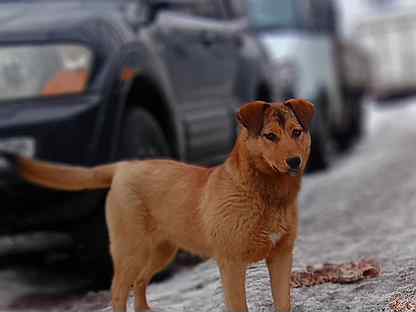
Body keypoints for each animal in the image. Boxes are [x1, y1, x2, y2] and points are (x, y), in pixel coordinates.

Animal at [15, 98, 316, 310]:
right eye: (270, 136)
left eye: (296, 132)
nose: (294, 162)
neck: (265, 194)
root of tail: (124, 167)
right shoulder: (231, 263)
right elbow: (239, 306)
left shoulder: (281, 256)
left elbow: (283, 303)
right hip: (130, 250)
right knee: (118, 291)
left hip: (161, 251)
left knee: (139, 282)